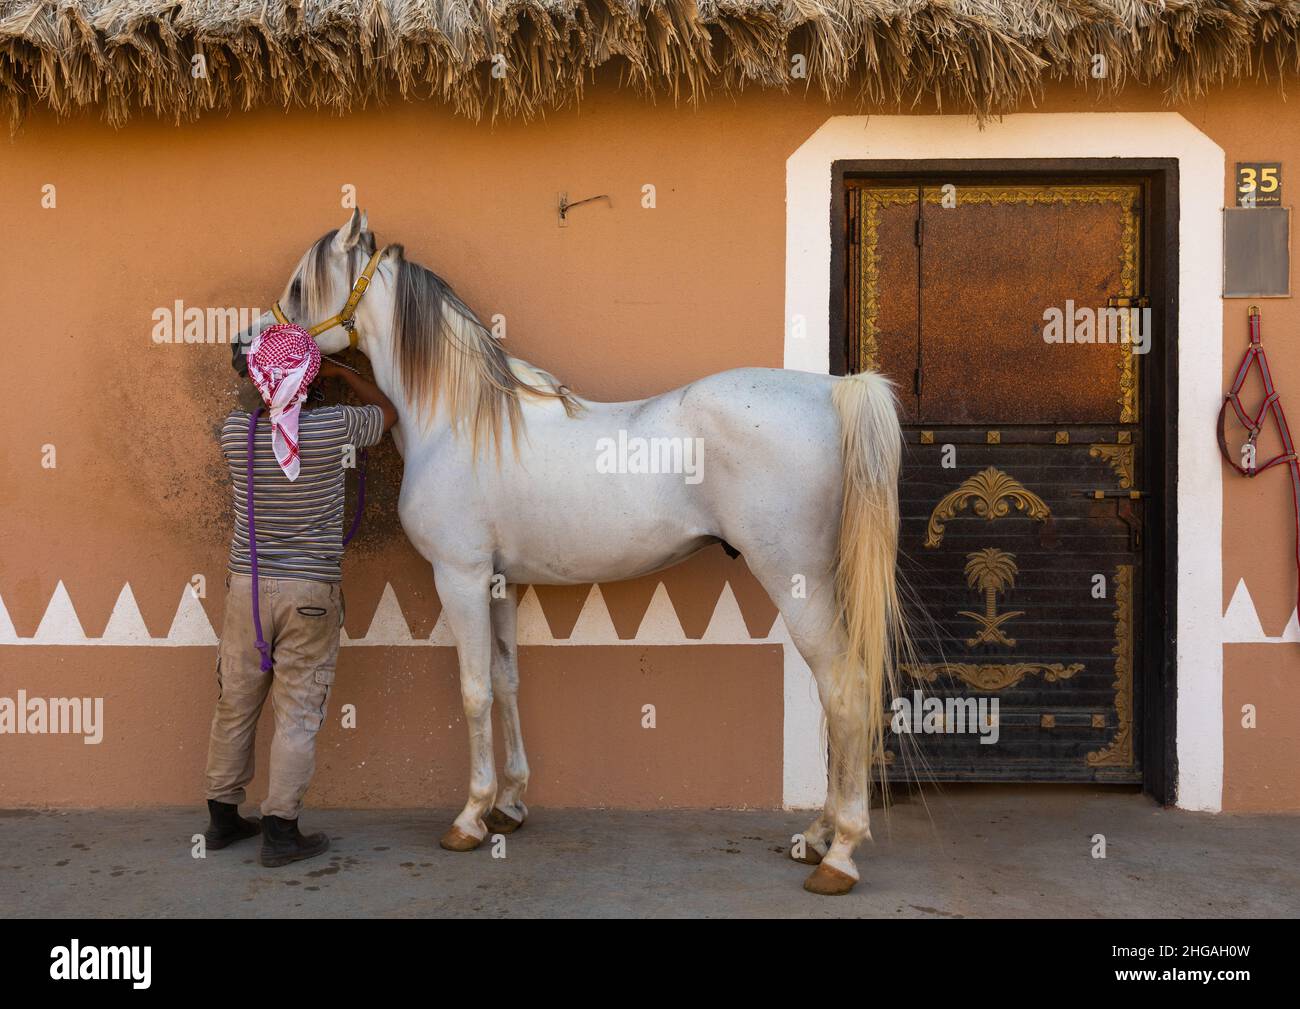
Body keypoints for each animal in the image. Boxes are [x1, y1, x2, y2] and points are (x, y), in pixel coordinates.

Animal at [238, 210, 906, 896]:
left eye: (299, 287)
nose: (242, 349)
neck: (460, 420)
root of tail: (832, 394)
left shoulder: (460, 578)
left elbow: (473, 690)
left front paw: (470, 817)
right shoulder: (497, 584)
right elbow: (505, 681)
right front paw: (509, 806)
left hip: (796, 581)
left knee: (845, 689)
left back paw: (838, 853)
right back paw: (818, 836)